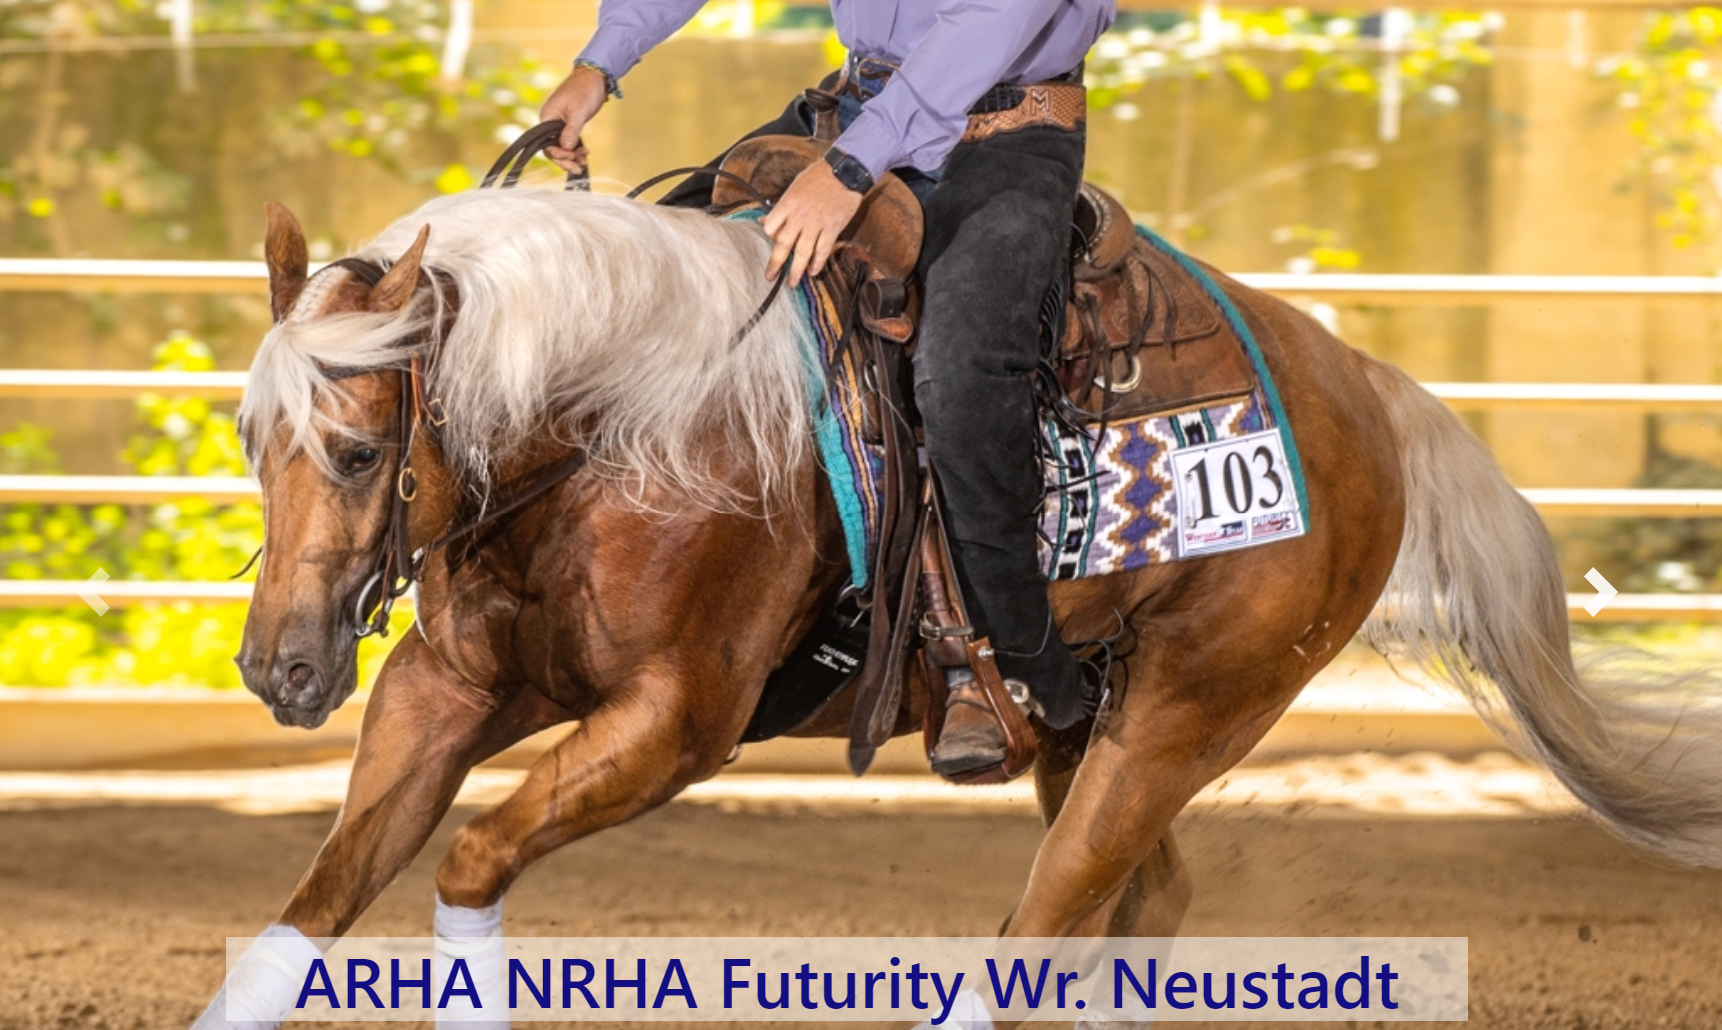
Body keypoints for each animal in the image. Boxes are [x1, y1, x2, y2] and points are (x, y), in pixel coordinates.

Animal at [203, 183, 1722, 1028]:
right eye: (249, 437)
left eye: (355, 450)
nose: (280, 668)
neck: (621, 416)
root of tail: (1363, 387)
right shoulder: (444, 690)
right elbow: (315, 903)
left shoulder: (673, 723)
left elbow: (468, 862)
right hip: (1081, 724)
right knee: (1133, 900)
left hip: (1187, 712)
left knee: (1045, 926)